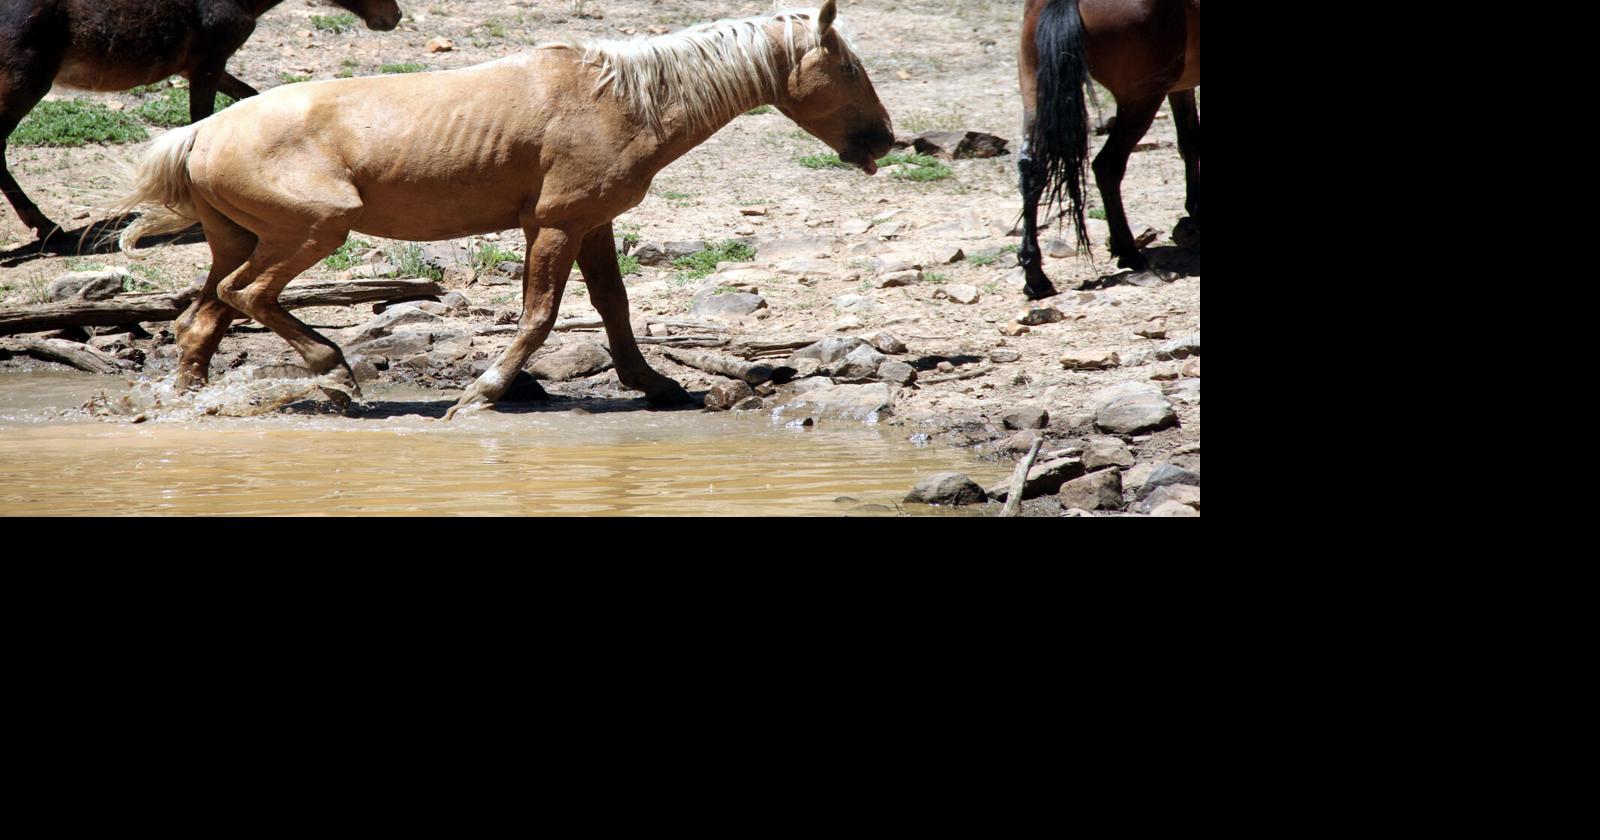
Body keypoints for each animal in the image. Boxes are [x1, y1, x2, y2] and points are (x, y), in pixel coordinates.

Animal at [2, 0, 403, 240]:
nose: (394, 16)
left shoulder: (202, 65)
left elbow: (247, 99)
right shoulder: (209, 61)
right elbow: (203, 119)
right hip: (25, 80)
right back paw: (45, 225)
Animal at [112, 0, 893, 419]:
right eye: (849, 67)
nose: (885, 139)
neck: (622, 99)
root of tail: (200, 133)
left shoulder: (592, 224)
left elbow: (614, 308)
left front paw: (657, 385)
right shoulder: (554, 225)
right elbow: (541, 315)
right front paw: (482, 394)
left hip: (241, 240)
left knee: (203, 317)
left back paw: (193, 395)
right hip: (312, 232)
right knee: (248, 298)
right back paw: (332, 370)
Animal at [1015, 0, 1200, 299]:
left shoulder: (1182, 85)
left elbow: (1189, 141)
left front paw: (1195, 212)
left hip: (1033, 92)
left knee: (1032, 169)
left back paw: (1036, 277)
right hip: (1142, 99)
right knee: (1107, 165)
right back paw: (1129, 252)